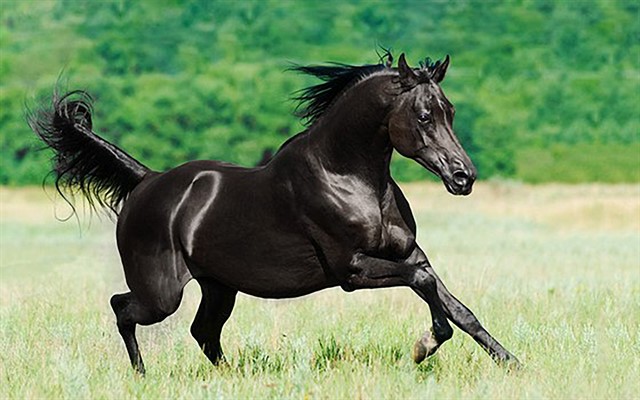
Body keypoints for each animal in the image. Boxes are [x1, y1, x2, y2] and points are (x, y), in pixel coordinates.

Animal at [29, 52, 520, 374]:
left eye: (449, 111)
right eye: (422, 115)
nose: (463, 177)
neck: (347, 174)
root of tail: (146, 181)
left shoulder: (410, 254)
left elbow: (455, 305)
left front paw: (510, 361)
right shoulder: (353, 270)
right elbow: (425, 287)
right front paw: (424, 346)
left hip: (219, 287)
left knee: (203, 333)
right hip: (161, 293)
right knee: (122, 308)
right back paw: (141, 374)